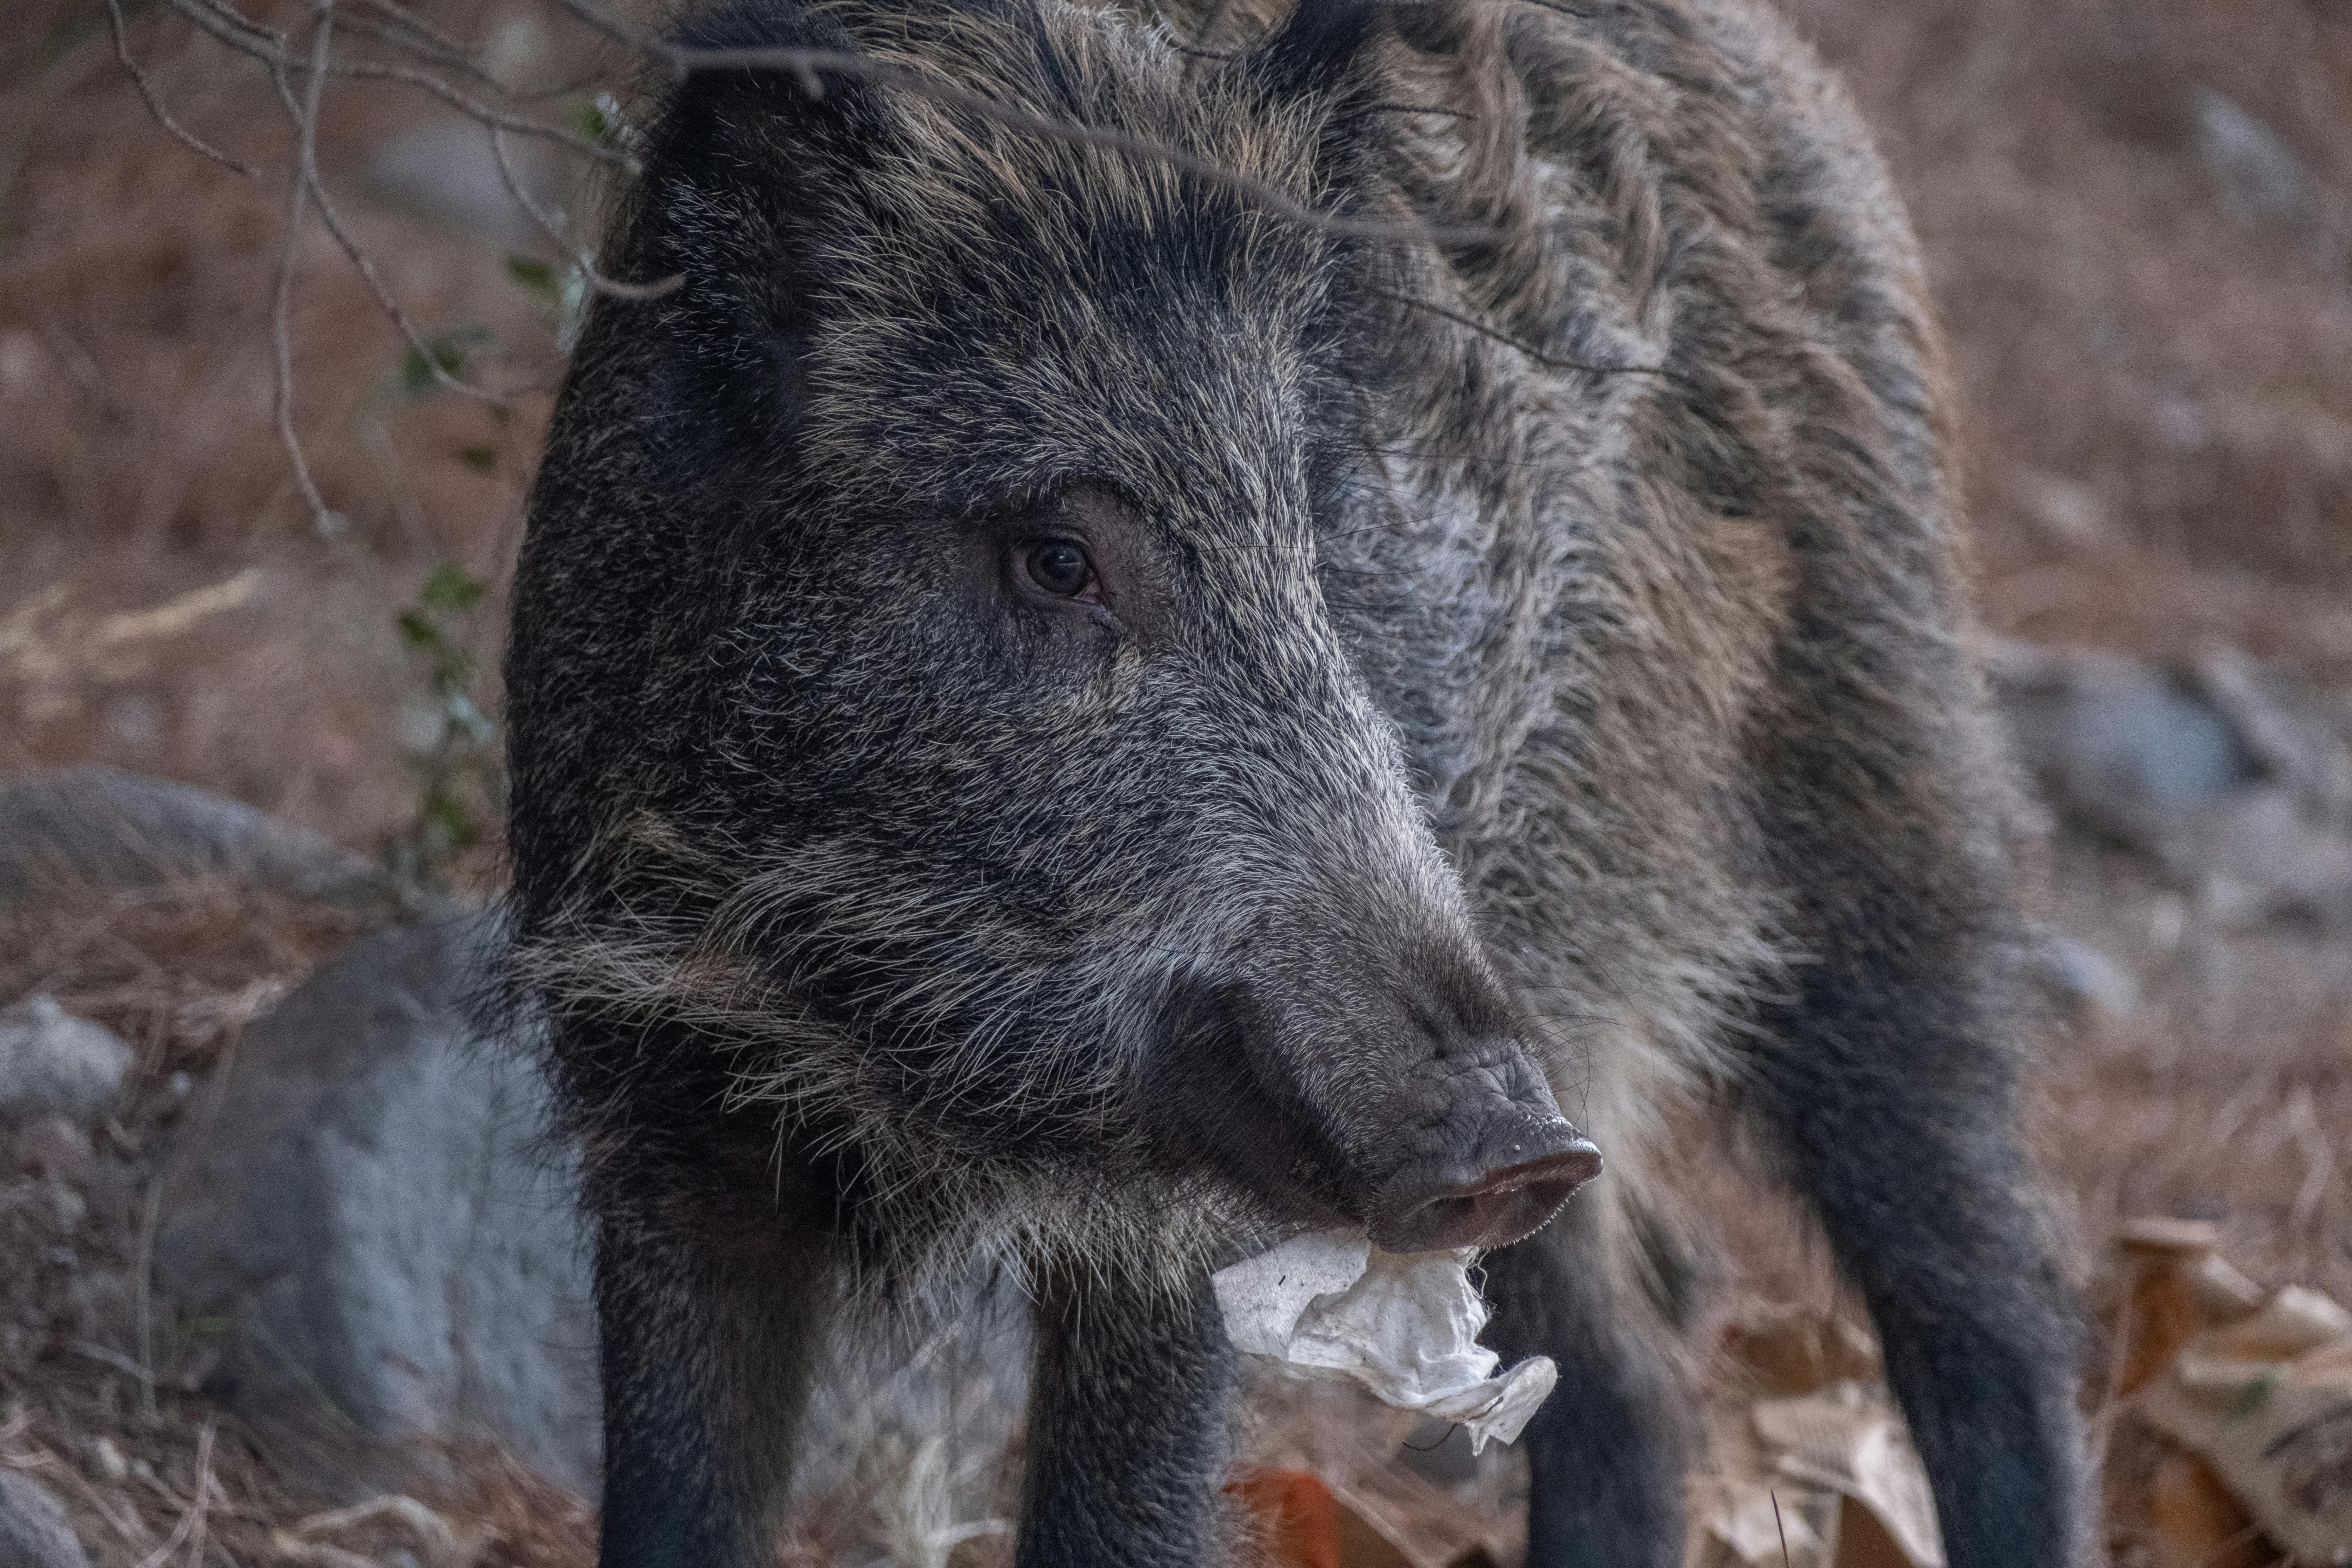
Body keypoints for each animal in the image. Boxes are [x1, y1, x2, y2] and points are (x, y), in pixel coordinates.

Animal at [500, 0, 2087, 1562]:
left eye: (1304, 535)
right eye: (1057, 555)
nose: (1511, 1143)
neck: (871, 1022)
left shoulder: (1172, 1234)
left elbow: (1123, 1521)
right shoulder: (660, 1109)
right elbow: (676, 1498)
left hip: (1879, 775)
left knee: (1996, 1307)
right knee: (1631, 1374)